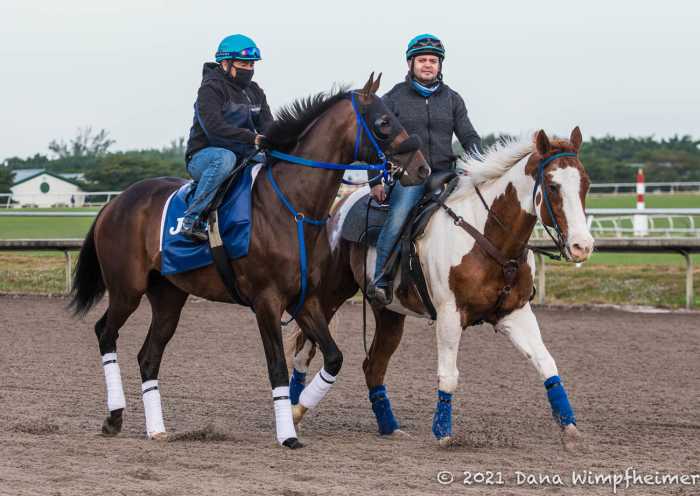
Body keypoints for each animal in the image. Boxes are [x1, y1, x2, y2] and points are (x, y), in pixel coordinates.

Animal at [68, 74, 430, 449]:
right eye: (384, 122)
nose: (422, 168)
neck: (291, 208)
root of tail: (114, 203)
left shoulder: (305, 299)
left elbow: (334, 357)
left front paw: (299, 409)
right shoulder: (266, 301)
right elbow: (277, 367)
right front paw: (288, 433)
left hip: (169, 296)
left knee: (149, 356)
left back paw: (157, 429)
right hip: (127, 289)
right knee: (105, 332)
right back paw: (114, 416)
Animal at [289, 128, 594, 451]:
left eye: (585, 183)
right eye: (553, 186)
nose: (582, 246)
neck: (487, 236)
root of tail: (336, 207)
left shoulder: (515, 312)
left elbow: (546, 363)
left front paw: (570, 430)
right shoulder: (450, 314)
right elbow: (449, 375)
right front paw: (443, 431)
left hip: (389, 313)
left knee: (373, 366)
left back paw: (390, 427)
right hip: (327, 296)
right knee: (303, 351)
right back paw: (294, 411)